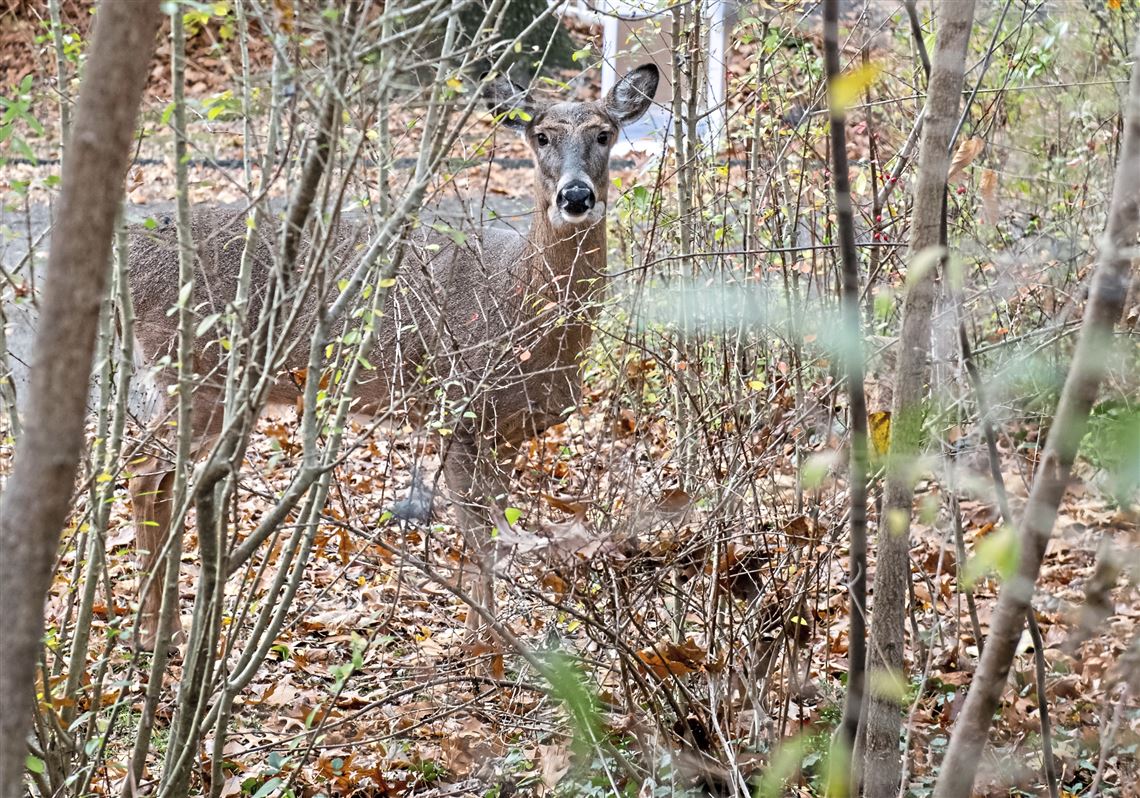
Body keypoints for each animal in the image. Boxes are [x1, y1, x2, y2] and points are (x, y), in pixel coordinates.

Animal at [125, 64, 660, 648]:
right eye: (540, 136)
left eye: (604, 134)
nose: (576, 196)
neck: (518, 306)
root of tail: (130, 252)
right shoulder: (456, 410)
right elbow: (482, 535)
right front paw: (482, 647)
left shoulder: (509, 431)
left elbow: (495, 531)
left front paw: (484, 638)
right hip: (197, 377)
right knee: (143, 475)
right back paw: (155, 633)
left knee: (166, 483)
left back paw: (162, 629)